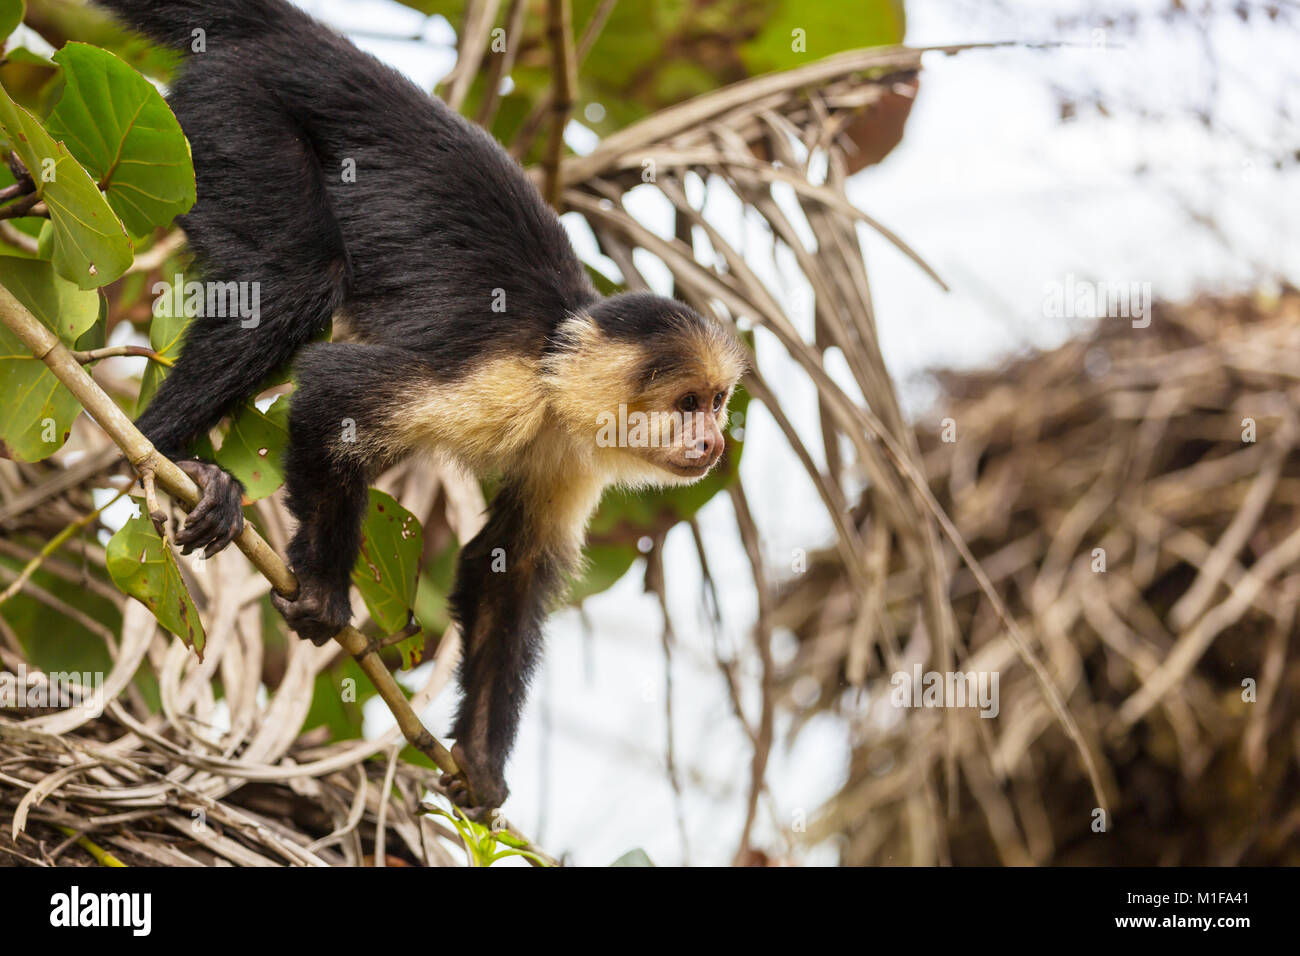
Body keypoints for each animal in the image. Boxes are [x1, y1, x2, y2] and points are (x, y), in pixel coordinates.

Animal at [98, 0, 746, 813]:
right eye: (687, 403)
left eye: (718, 404)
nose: (713, 444)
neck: (554, 379)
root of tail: (299, 42)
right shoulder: (500, 385)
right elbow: (335, 395)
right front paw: (323, 584)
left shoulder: (570, 455)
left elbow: (510, 567)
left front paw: (479, 758)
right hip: (231, 111)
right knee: (294, 278)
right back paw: (166, 451)